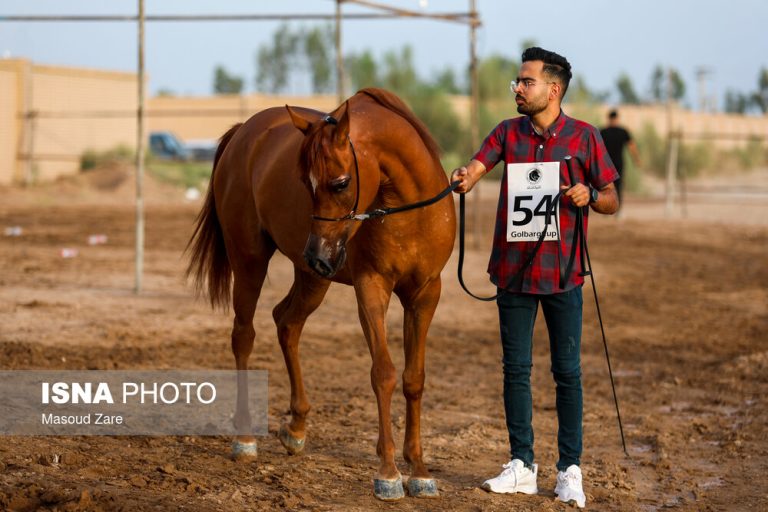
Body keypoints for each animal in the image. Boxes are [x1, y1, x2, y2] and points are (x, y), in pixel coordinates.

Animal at [186, 88, 456, 500]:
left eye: (341, 183)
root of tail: (245, 132)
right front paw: (389, 472)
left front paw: (420, 470)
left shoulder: (426, 295)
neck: (408, 210)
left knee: (286, 322)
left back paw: (296, 428)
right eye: (304, 181)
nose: (317, 254)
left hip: (314, 280)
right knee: (244, 336)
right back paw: (245, 439)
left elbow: (414, 378)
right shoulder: (371, 288)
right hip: (250, 261)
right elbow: (384, 373)